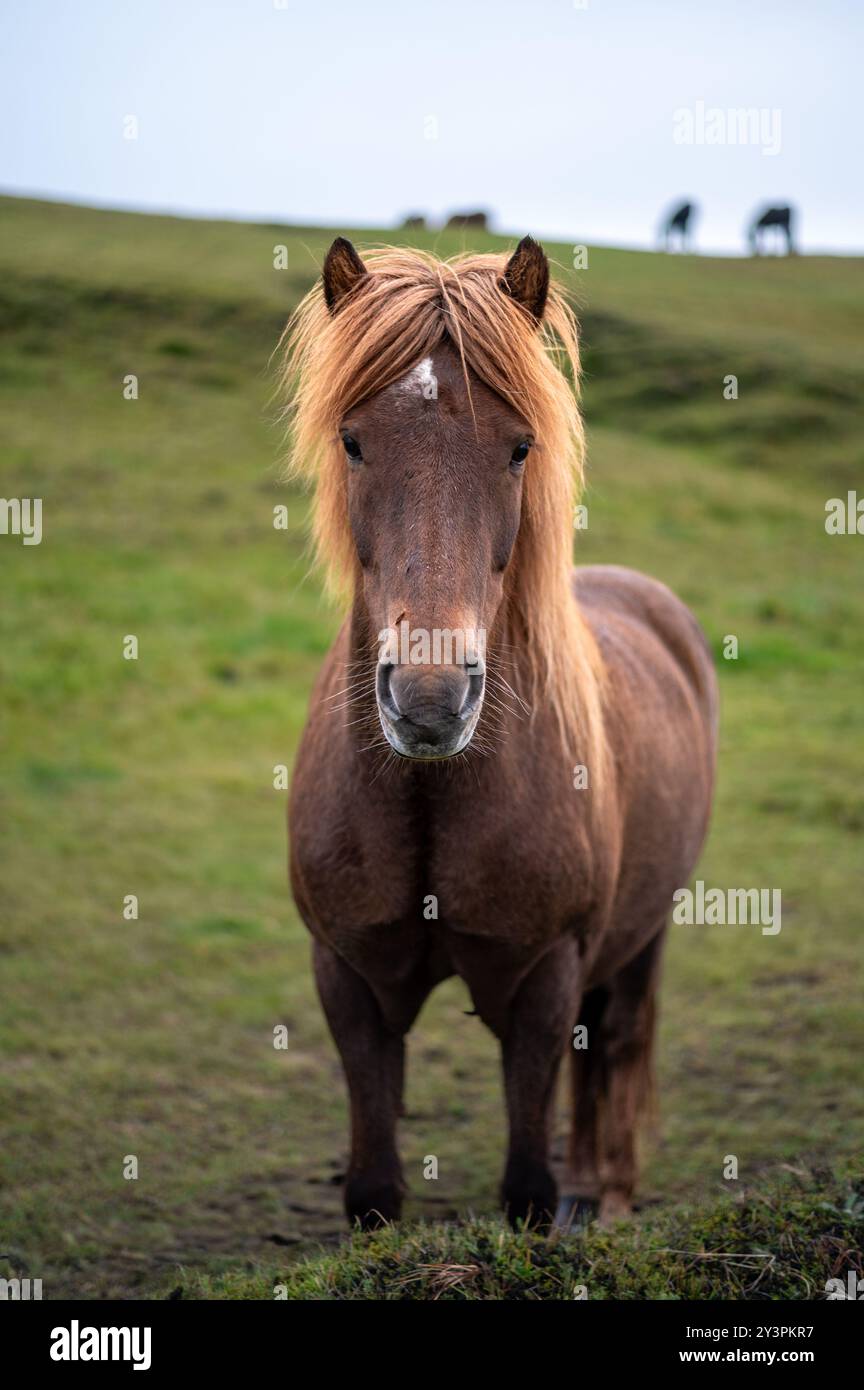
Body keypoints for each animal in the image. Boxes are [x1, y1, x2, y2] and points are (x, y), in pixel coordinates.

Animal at [281, 236, 718, 1231]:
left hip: (642, 938)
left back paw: (603, 1193)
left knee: (616, 1044)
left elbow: (525, 1186)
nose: (431, 701)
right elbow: (373, 1191)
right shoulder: (349, 979)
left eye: (520, 446)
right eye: (353, 440)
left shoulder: (544, 978)